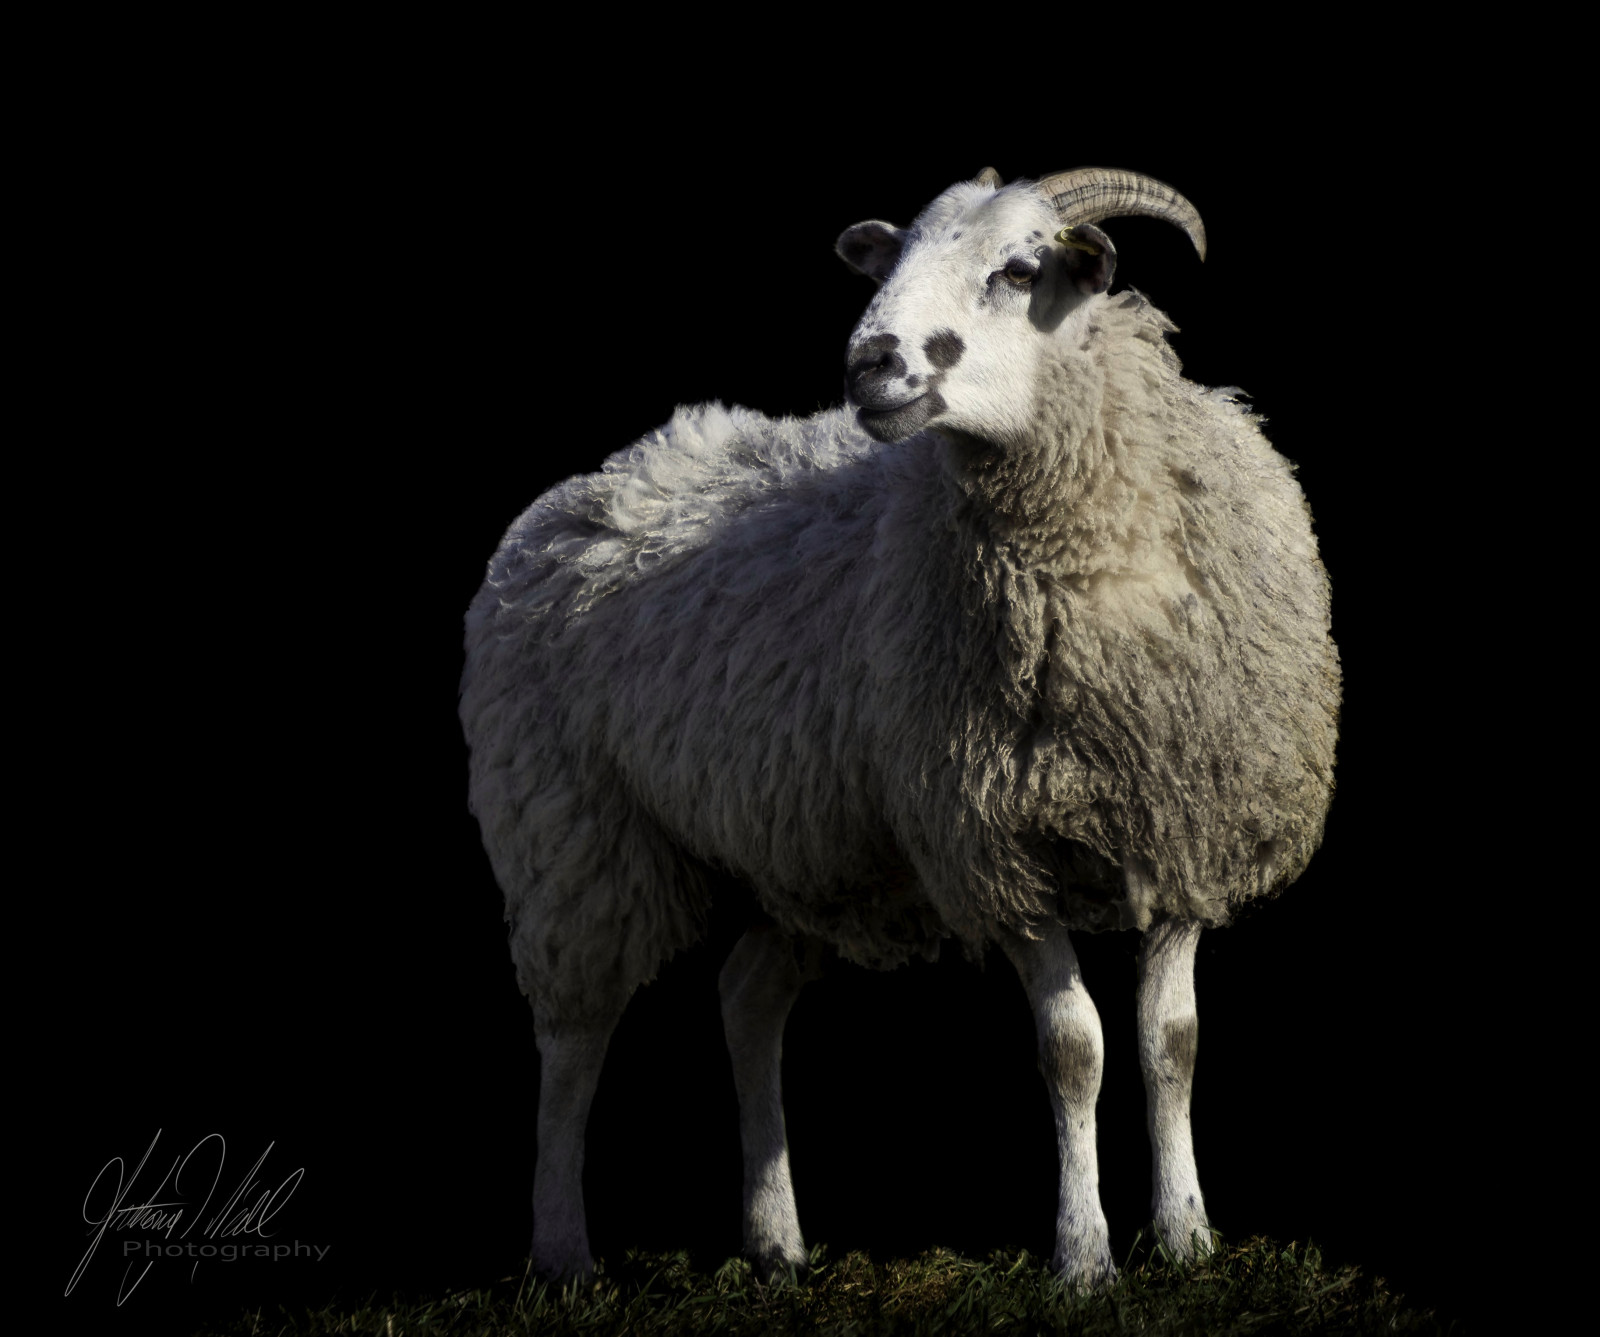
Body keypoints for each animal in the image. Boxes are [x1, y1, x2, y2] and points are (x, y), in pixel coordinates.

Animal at [459, 166, 1340, 1289]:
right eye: (896, 257)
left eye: (1022, 270)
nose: (869, 362)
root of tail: (584, 489)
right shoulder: (996, 850)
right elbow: (1075, 1049)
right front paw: (1083, 1253)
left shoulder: (1184, 821)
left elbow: (1170, 1042)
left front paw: (1185, 1234)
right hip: (572, 832)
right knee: (573, 1039)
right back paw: (564, 1252)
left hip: (804, 849)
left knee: (746, 998)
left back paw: (776, 1239)